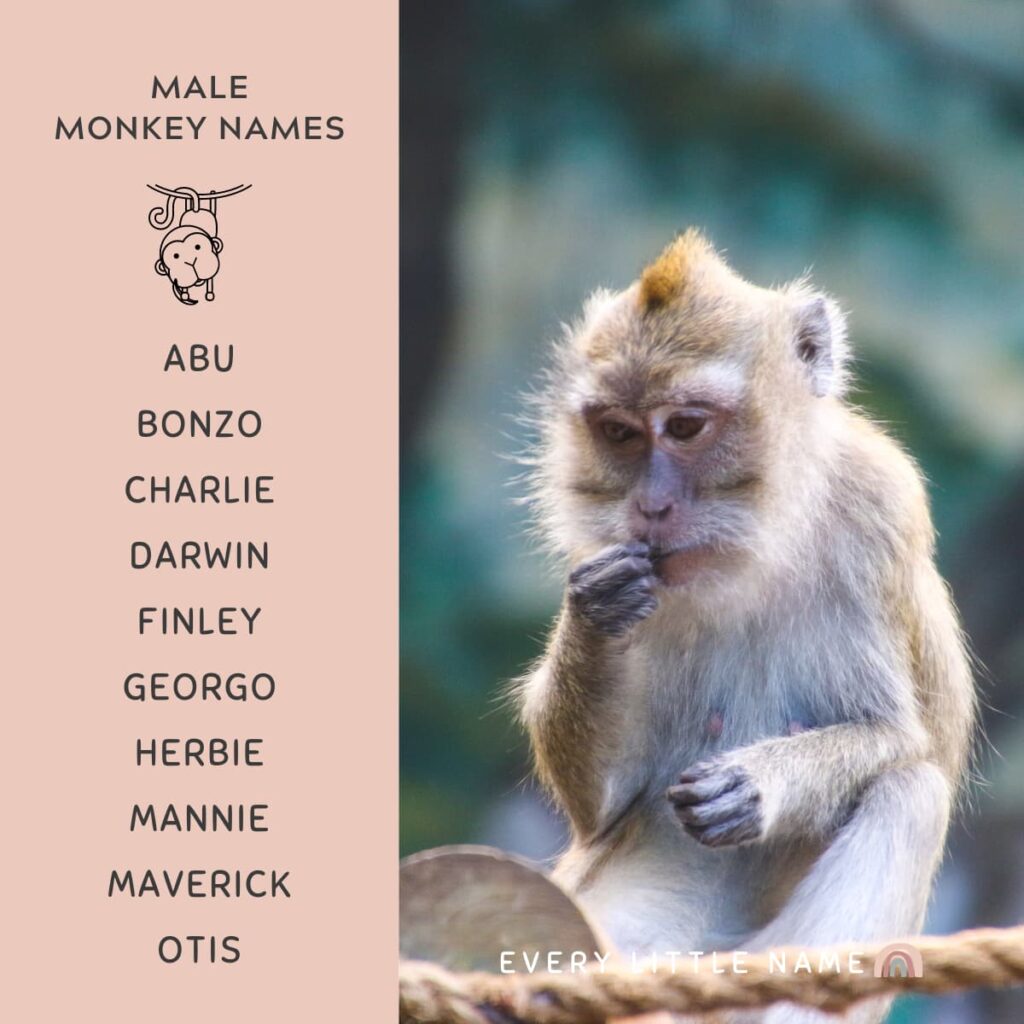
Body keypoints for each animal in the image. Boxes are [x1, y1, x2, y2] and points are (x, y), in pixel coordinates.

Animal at [515, 230, 976, 1023]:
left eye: (686, 426)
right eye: (619, 433)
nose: (650, 507)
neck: (755, 550)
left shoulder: (877, 511)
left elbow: (897, 737)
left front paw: (758, 787)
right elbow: (604, 804)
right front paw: (597, 609)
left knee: (909, 793)